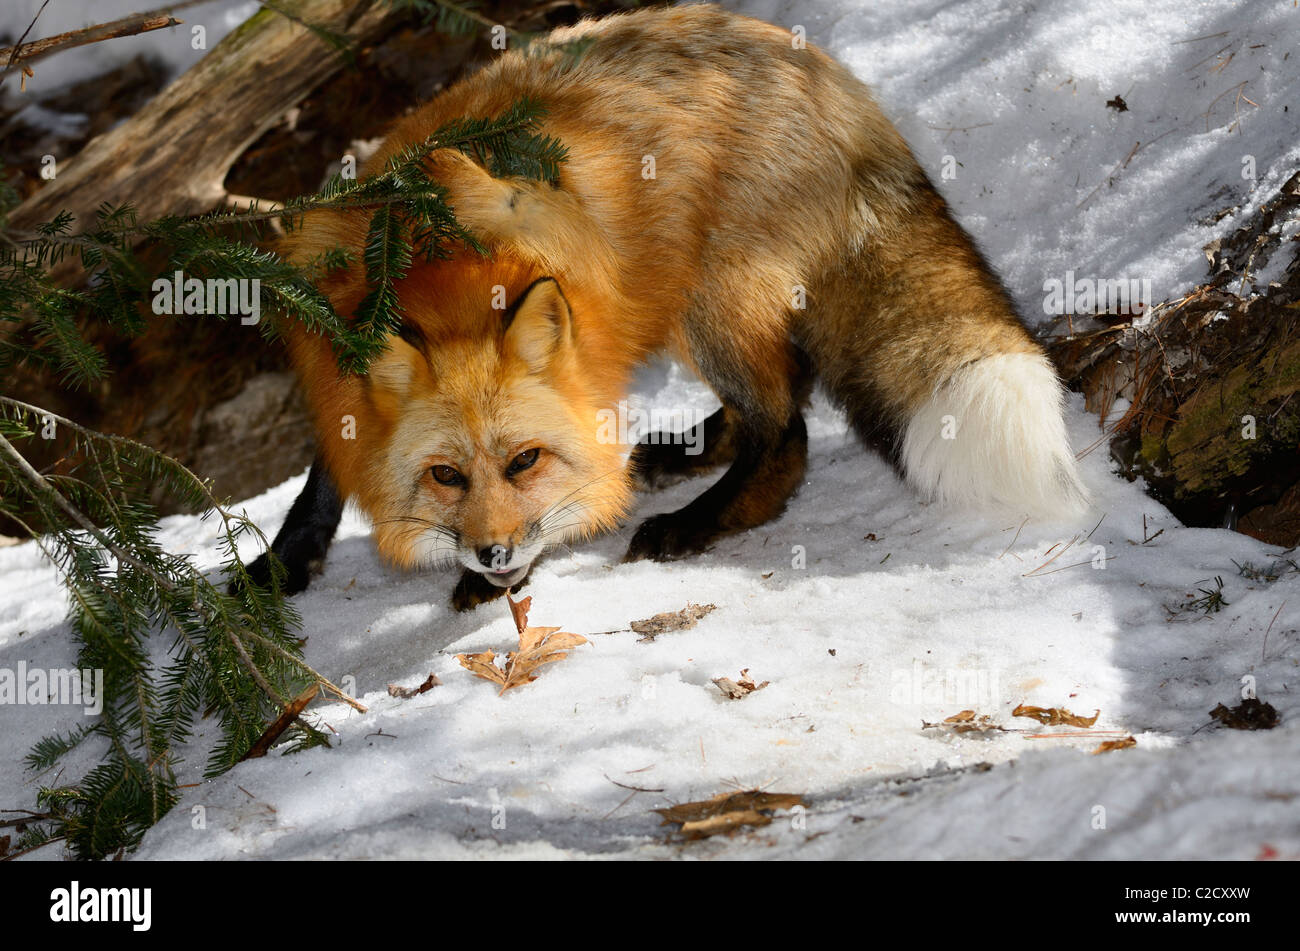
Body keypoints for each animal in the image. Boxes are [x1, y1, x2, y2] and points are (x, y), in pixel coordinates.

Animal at [237, 4, 1089, 611]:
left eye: (524, 460)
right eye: (444, 475)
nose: (494, 555)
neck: (418, 263)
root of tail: (833, 78)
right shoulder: (327, 341)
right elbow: (324, 471)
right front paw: (285, 559)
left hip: (710, 300)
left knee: (787, 431)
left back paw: (696, 519)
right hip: (693, 306)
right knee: (776, 395)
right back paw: (685, 452)